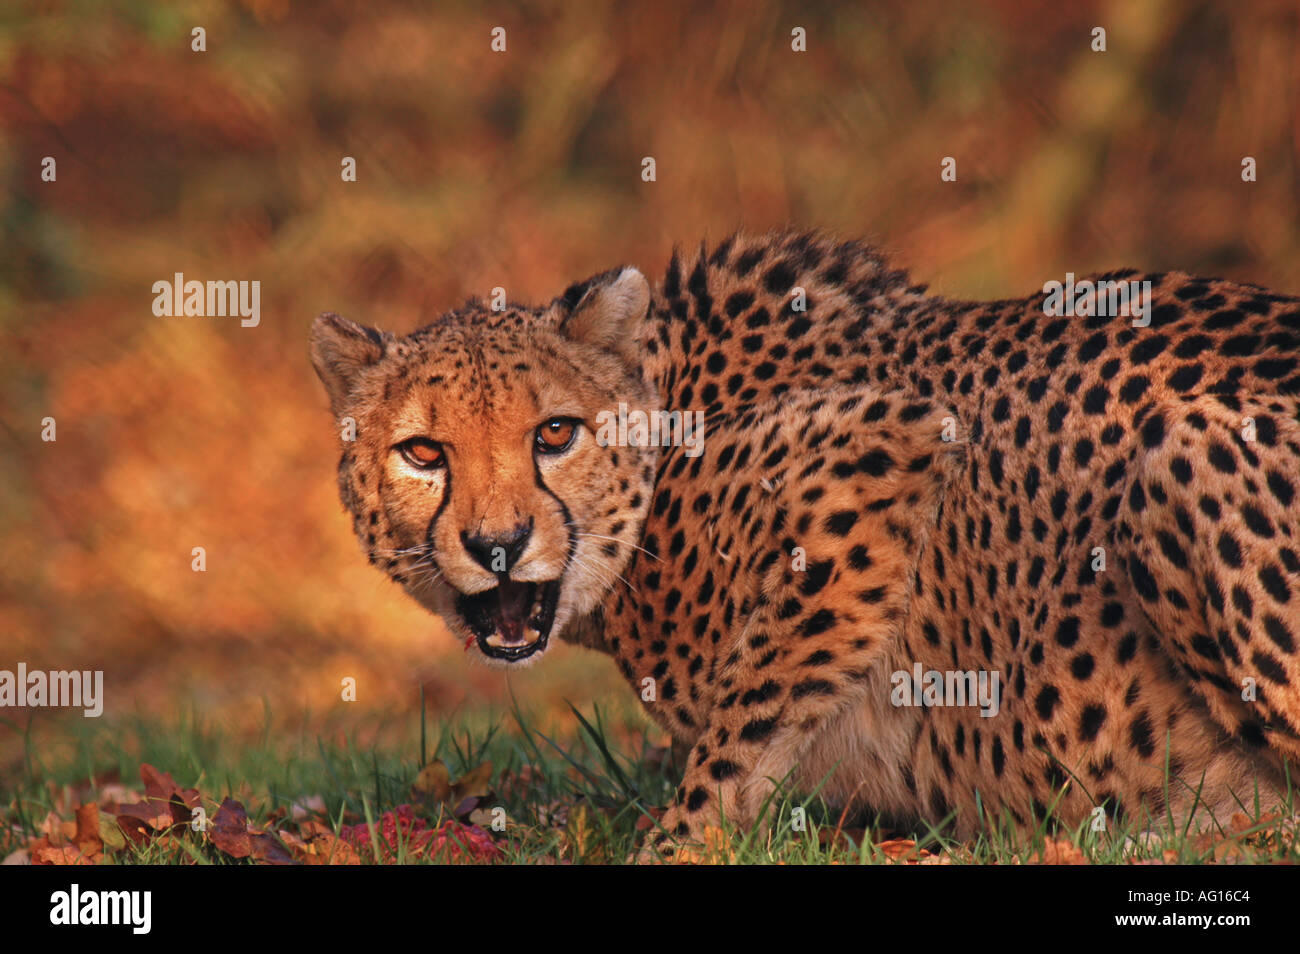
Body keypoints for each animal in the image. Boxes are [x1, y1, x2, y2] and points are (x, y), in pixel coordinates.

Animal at [310, 228, 1300, 854]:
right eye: (424, 453)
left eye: (554, 434)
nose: (500, 544)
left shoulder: (875, 452)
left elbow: (739, 731)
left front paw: (678, 845)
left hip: (1183, 449)